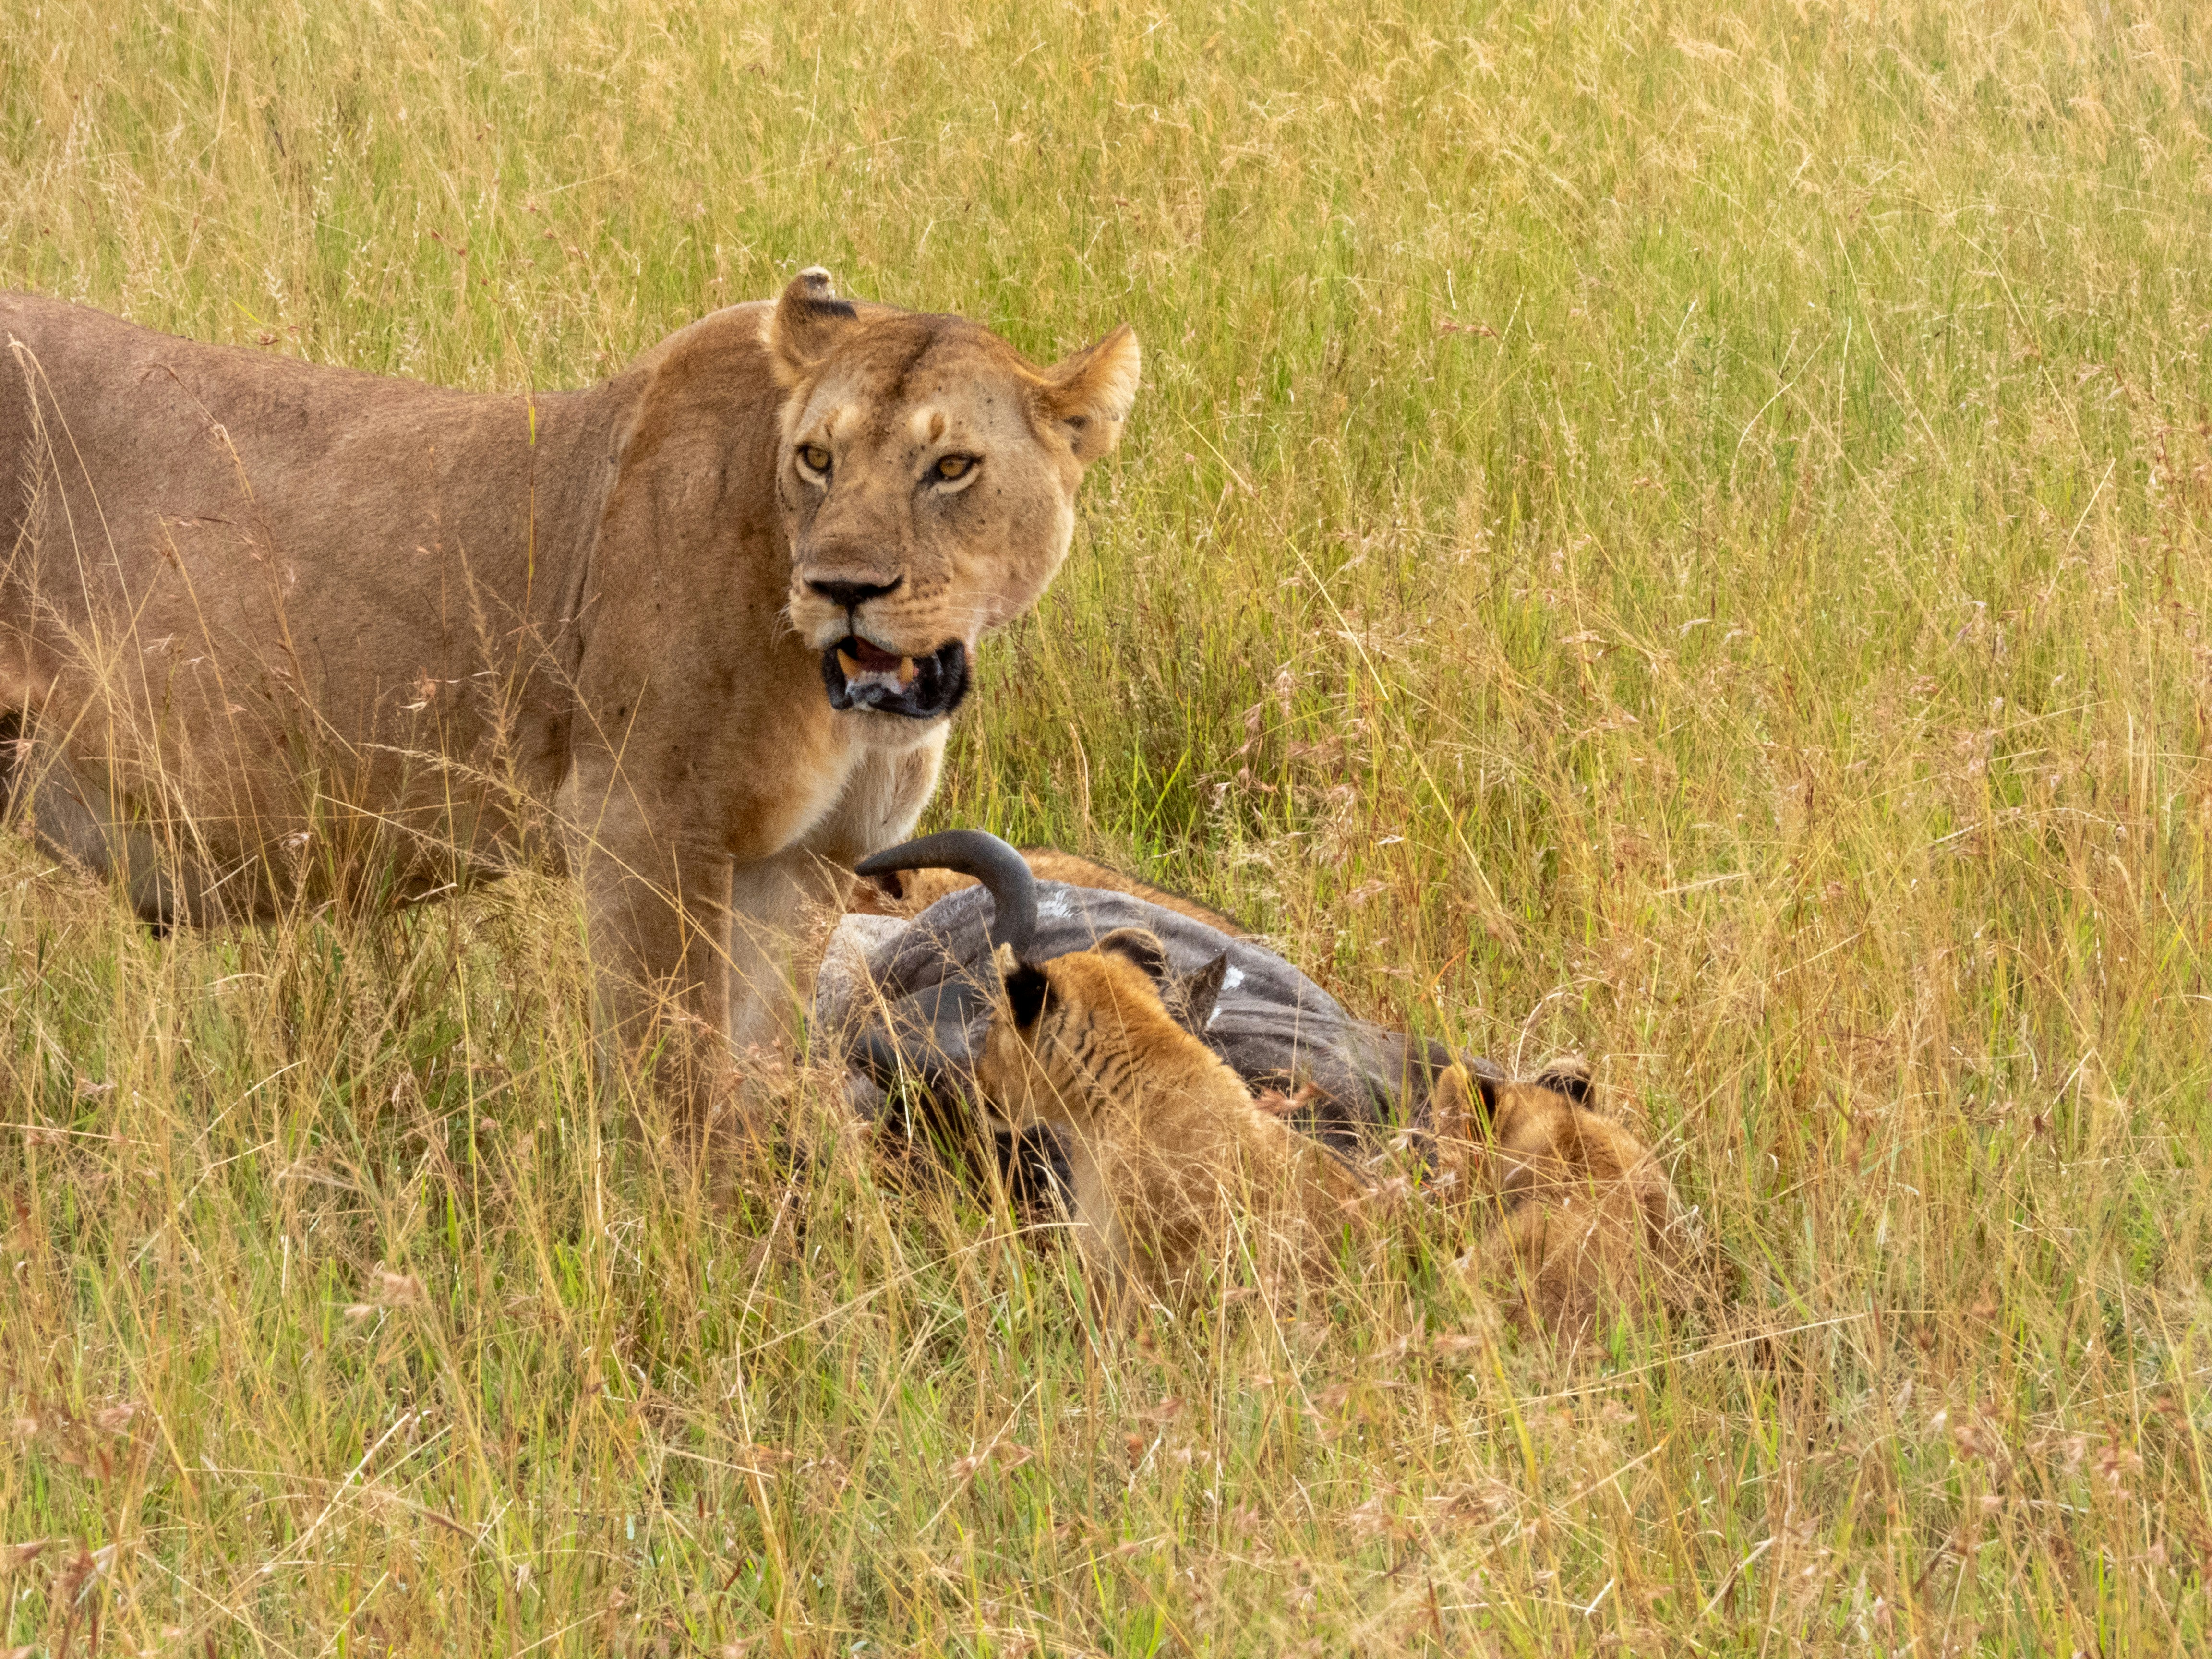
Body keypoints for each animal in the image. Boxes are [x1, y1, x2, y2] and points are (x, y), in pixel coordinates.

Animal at [0, 270, 1139, 1117]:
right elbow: (669, 1084)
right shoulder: (636, 827)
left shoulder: (806, 863)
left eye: (951, 468)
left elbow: (754, 1075)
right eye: (818, 458)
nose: (842, 589)